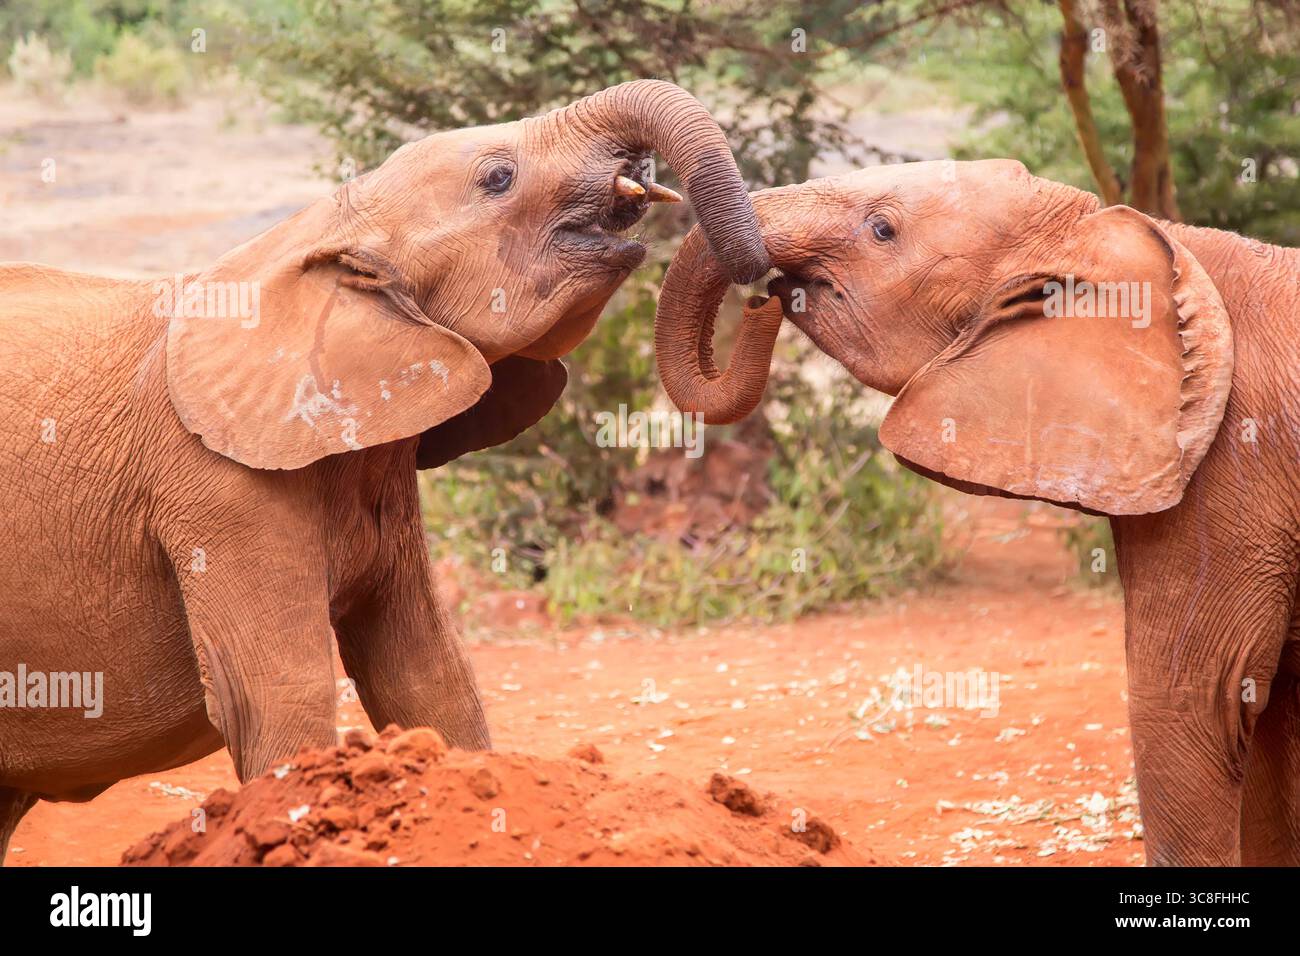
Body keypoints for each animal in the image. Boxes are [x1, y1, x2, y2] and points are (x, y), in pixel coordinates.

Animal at [0, 79, 771, 862]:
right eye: (498, 178)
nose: (767, 287)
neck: (324, 229)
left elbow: (428, 675)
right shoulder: (214, 486)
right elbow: (278, 693)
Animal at [653, 159, 1300, 866]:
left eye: (882, 230)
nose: (763, 299)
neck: (1098, 228)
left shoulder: (1235, 465)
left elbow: (1194, 703)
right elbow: (1269, 723)